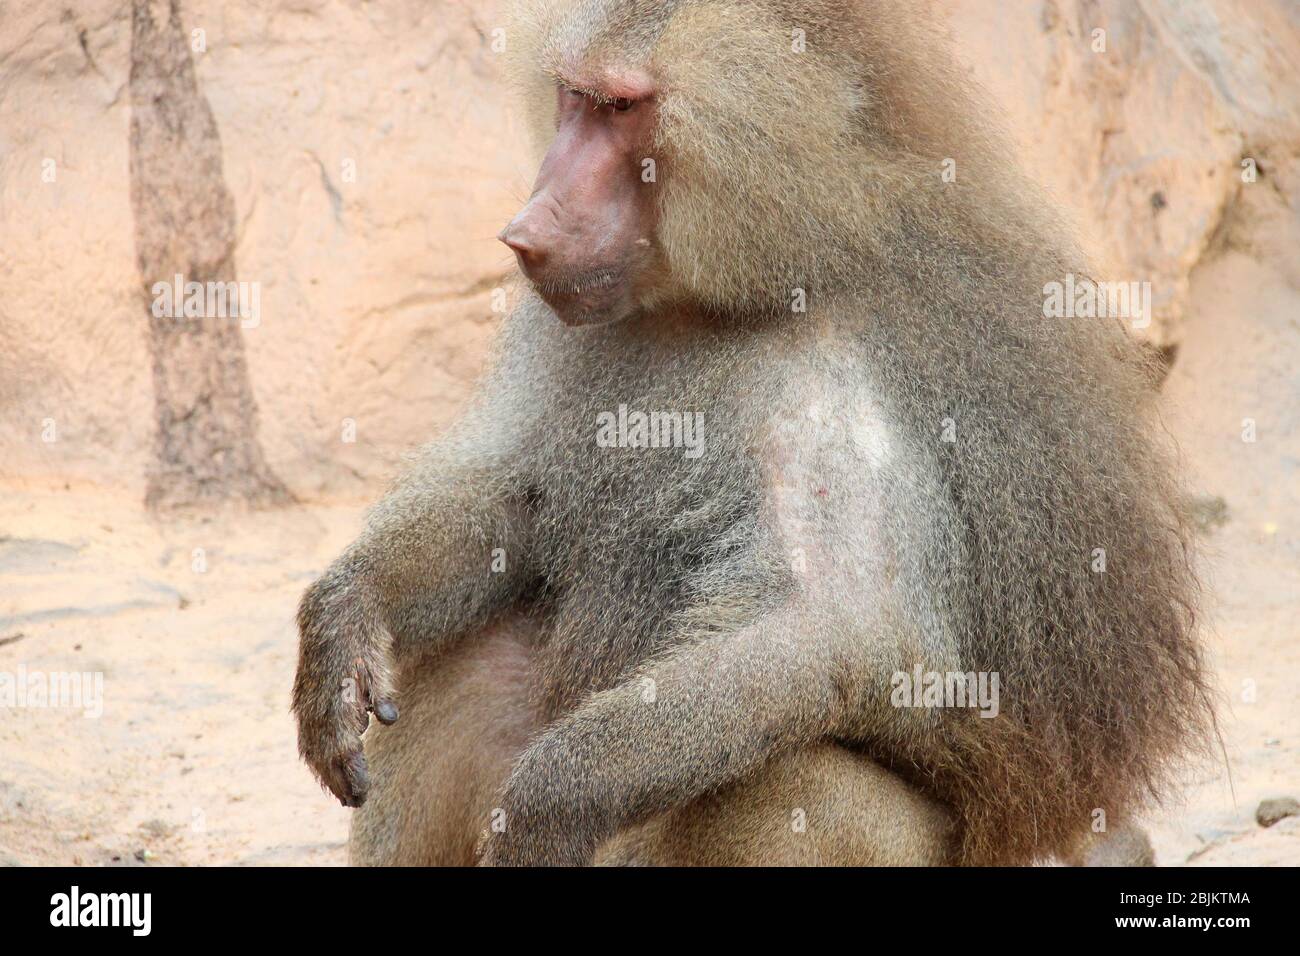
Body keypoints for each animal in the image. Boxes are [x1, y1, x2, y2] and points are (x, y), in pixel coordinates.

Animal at [293, 0, 1214, 866]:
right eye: (574, 98)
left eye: (623, 108)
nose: (528, 229)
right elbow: (512, 498)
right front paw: (342, 620)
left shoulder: (841, 374)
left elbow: (835, 630)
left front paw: (546, 806)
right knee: (469, 671)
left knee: (784, 786)